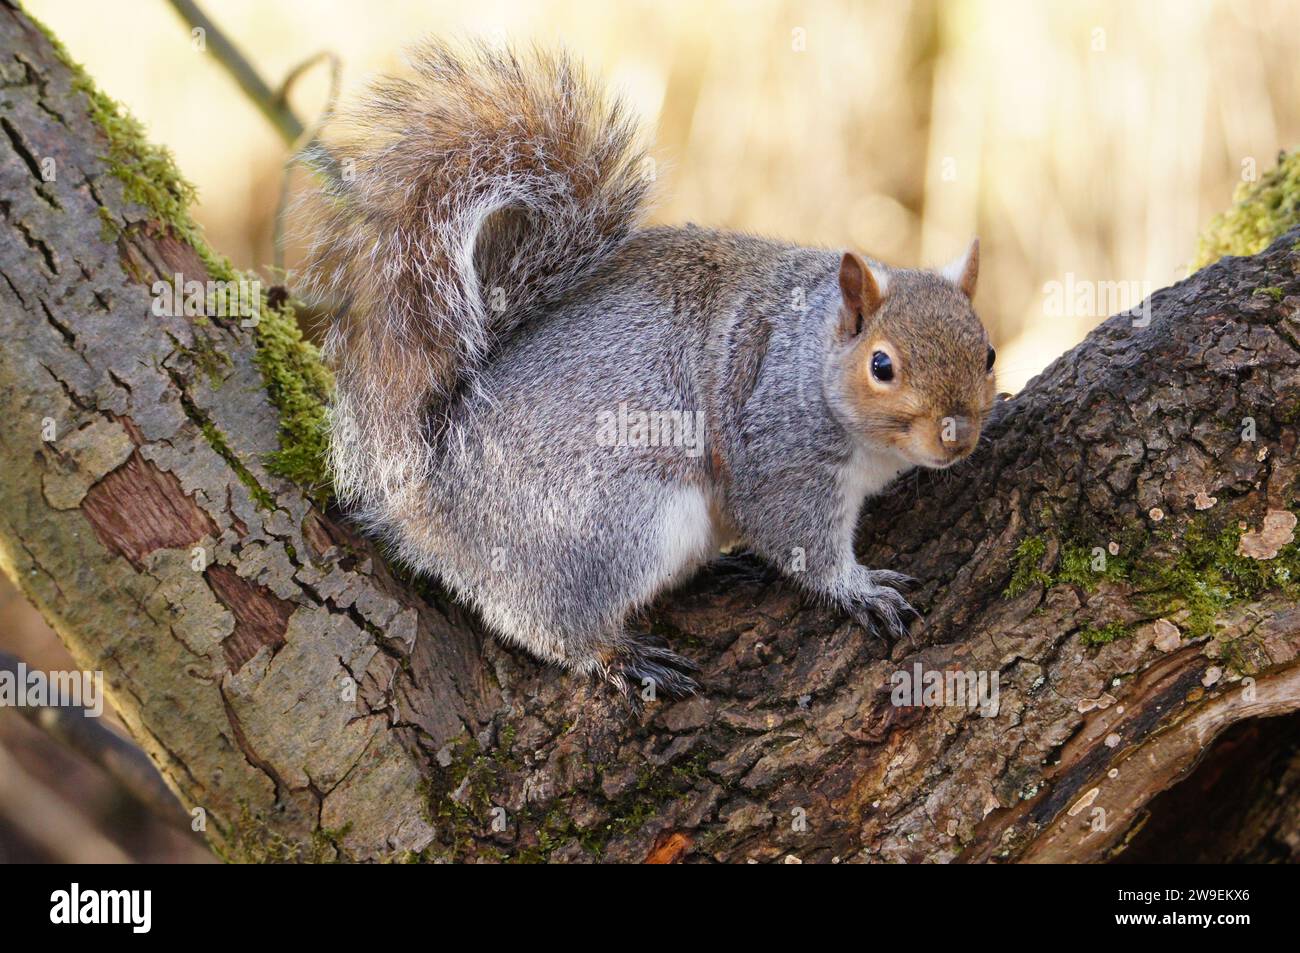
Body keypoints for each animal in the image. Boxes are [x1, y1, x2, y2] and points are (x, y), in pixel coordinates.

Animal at [299, 40, 997, 701]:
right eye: (881, 365)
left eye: (988, 354)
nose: (956, 436)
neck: (812, 353)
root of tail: (431, 504)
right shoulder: (778, 451)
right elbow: (797, 533)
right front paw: (857, 589)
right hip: (609, 524)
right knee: (547, 621)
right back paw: (617, 656)